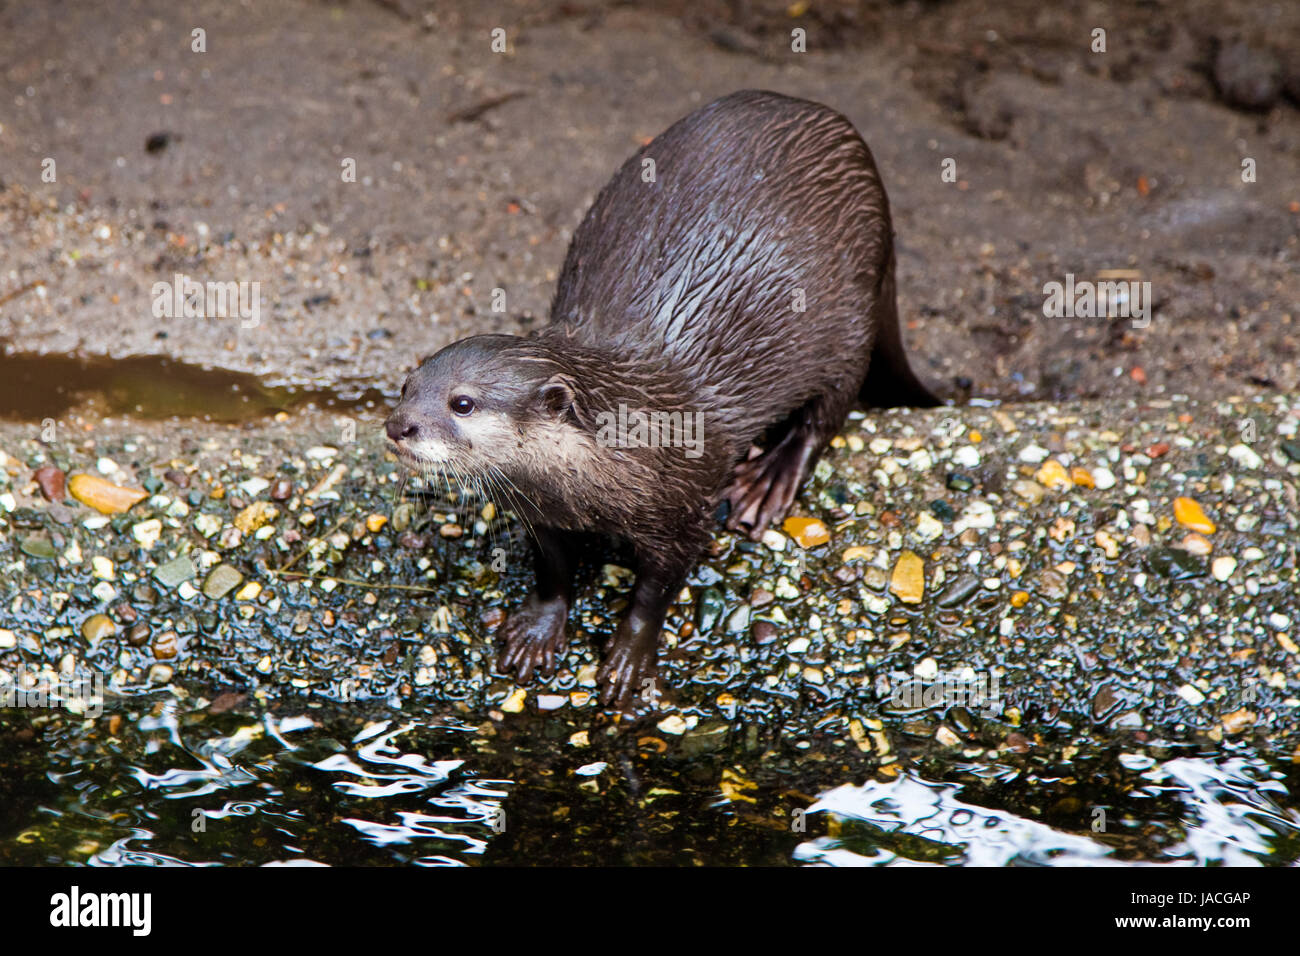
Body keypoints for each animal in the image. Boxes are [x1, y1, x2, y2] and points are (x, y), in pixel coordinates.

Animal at [386, 90, 940, 710]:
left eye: (462, 403)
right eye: (408, 385)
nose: (399, 425)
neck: (631, 443)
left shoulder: (686, 509)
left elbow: (657, 588)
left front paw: (629, 659)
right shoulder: (542, 510)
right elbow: (552, 569)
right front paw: (538, 629)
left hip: (849, 324)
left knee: (829, 410)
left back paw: (769, 480)